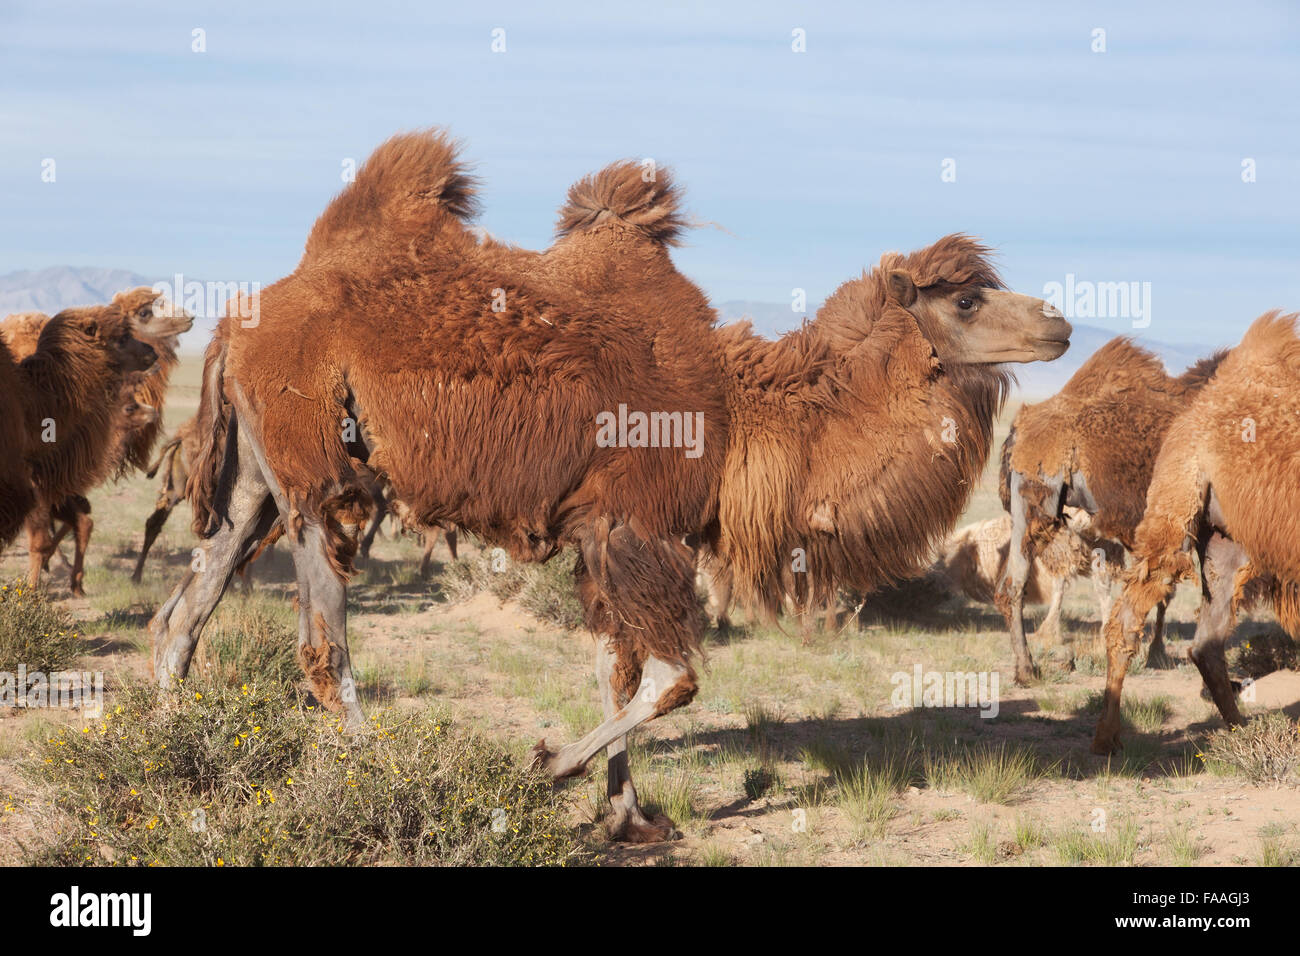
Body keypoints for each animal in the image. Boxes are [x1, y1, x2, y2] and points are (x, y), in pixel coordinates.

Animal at [150, 129, 1070, 842]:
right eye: (967, 298)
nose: (1059, 323)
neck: (740, 418)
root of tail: (233, 325)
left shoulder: (596, 533)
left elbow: (613, 667)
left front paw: (628, 816)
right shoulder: (641, 526)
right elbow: (672, 679)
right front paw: (550, 765)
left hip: (256, 483)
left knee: (183, 617)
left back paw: (168, 755)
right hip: (321, 476)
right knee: (321, 640)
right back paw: (379, 775)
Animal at [1092, 311, 1300, 753]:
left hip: (1226, 544)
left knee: (1206, 643)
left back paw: (1241, 732)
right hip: (1176, 502)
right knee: (1130, 617)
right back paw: (1107, 738)